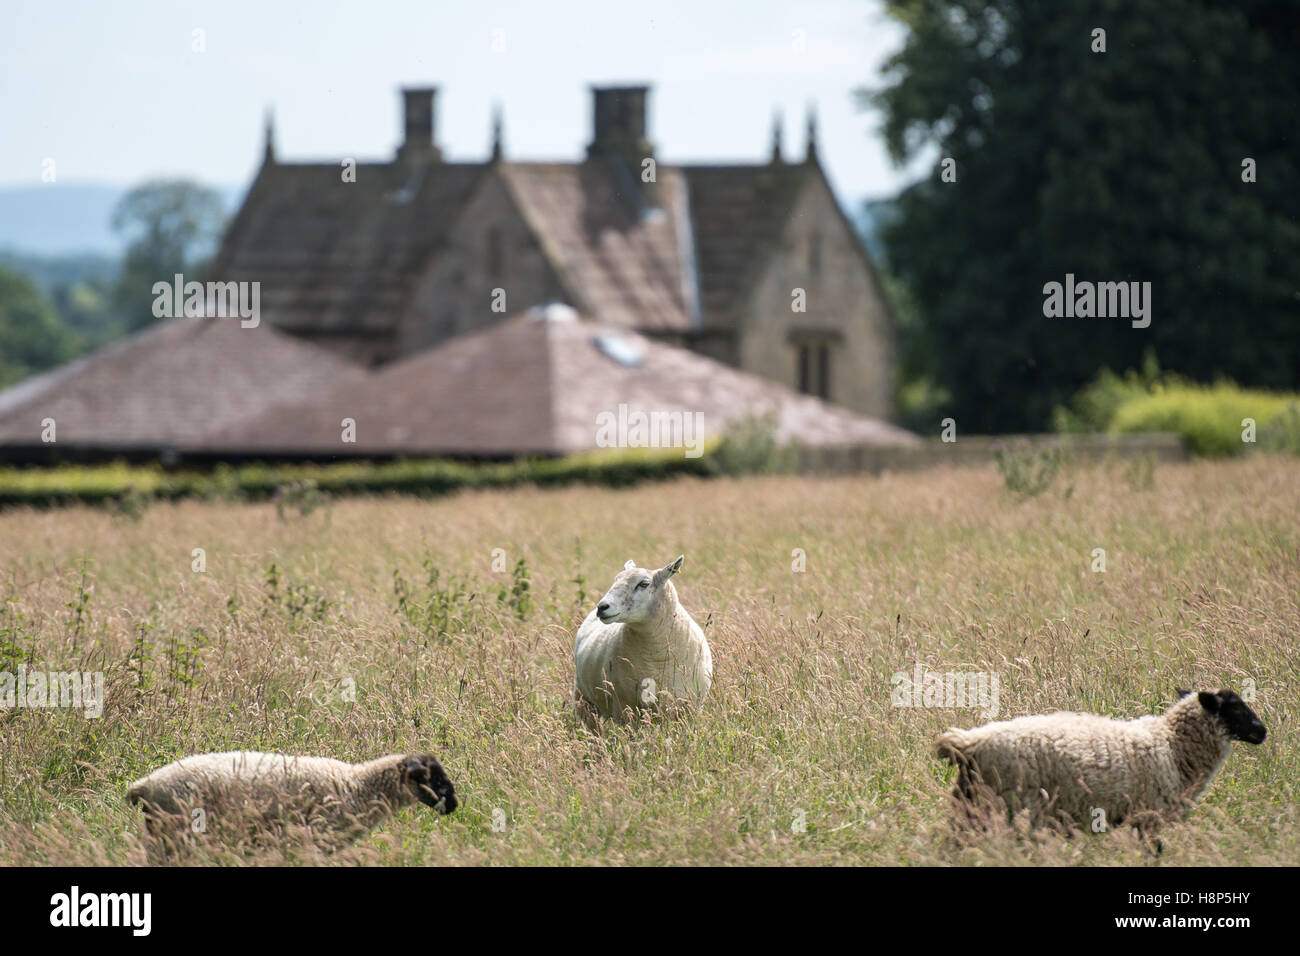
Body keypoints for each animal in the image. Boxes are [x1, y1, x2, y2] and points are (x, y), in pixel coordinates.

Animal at [574, 555, 713, 724]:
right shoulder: (623, 707)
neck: (656, 657)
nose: (602, 607)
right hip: (583, 699)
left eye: (644, 584)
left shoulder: (691, 707)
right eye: (615, 580)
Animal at [934, 688, 1266, 834]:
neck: (1173, 745)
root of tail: (970, 743)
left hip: (970, 801)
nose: (1262, 731)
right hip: (1004, 804)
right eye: (1235, 708)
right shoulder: (1149, 816)